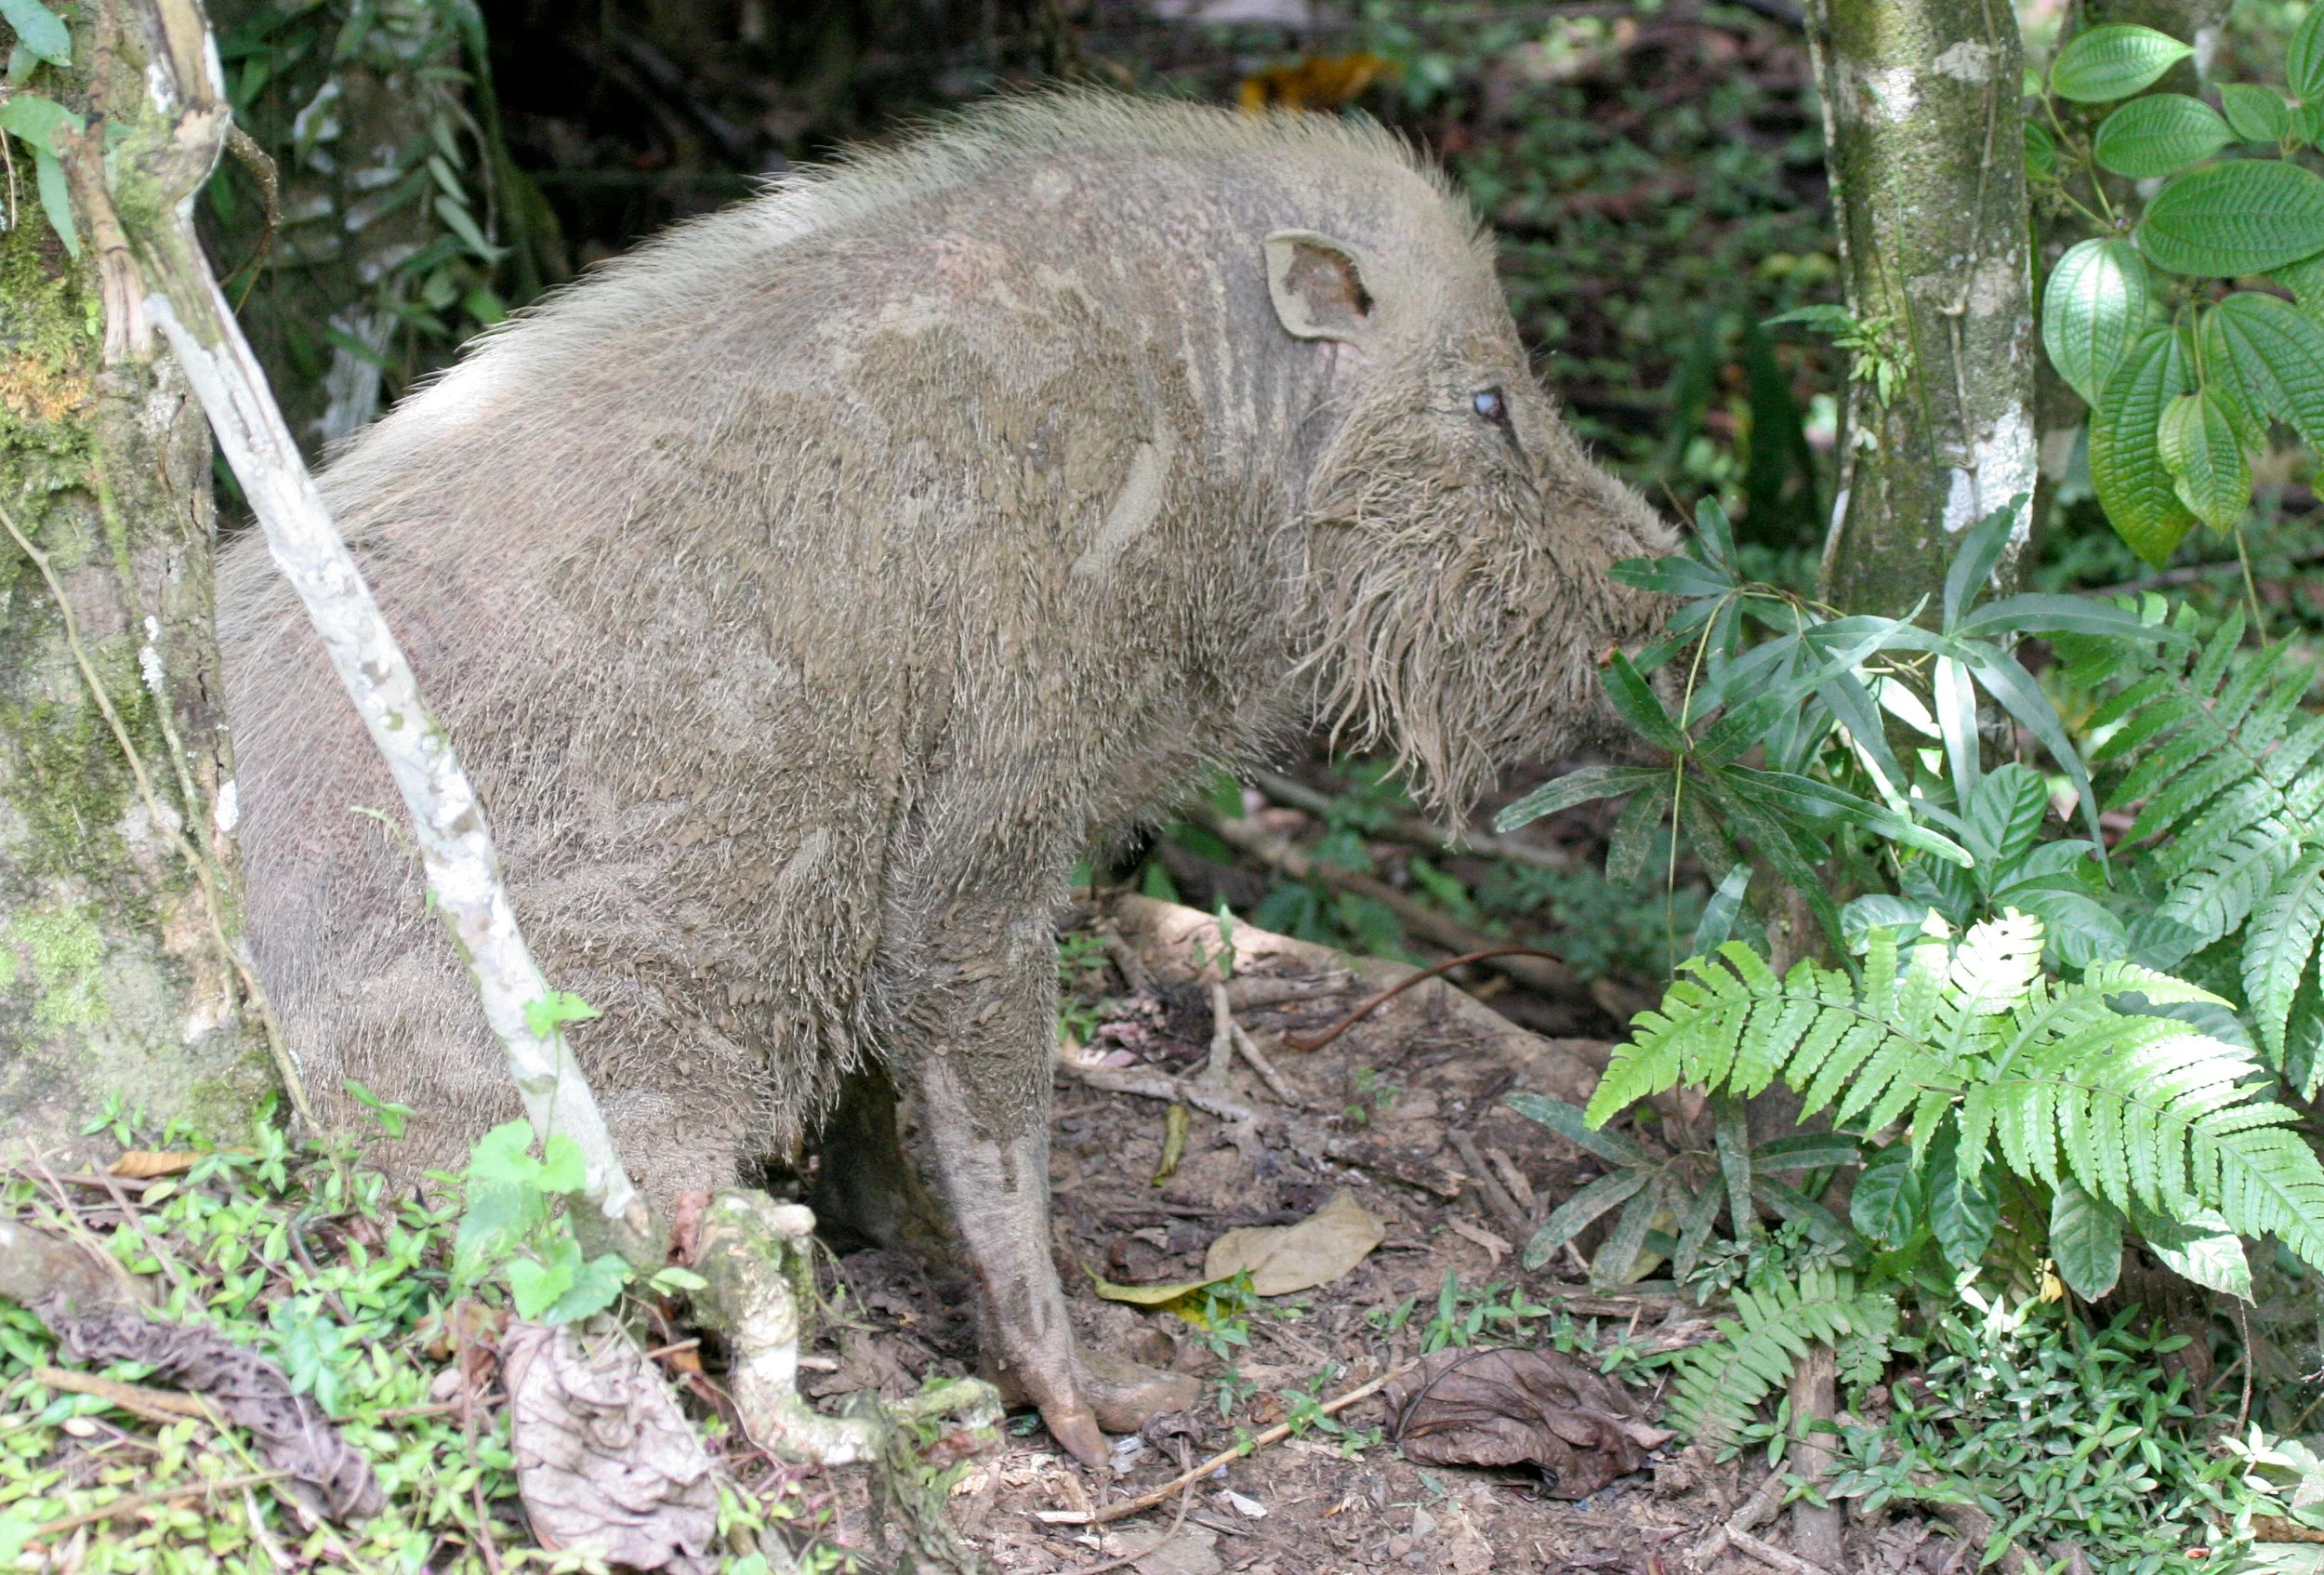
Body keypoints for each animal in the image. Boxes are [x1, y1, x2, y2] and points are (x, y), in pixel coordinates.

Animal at [216, 91, 1670, 1464]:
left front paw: (903, 1237)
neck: (1211, 435)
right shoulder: (987, 824)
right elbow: (996, 1116)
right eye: (1489, 403)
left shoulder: (875, 865)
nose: (1657, 589)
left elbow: (871, 1079)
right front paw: (1093, 1407)